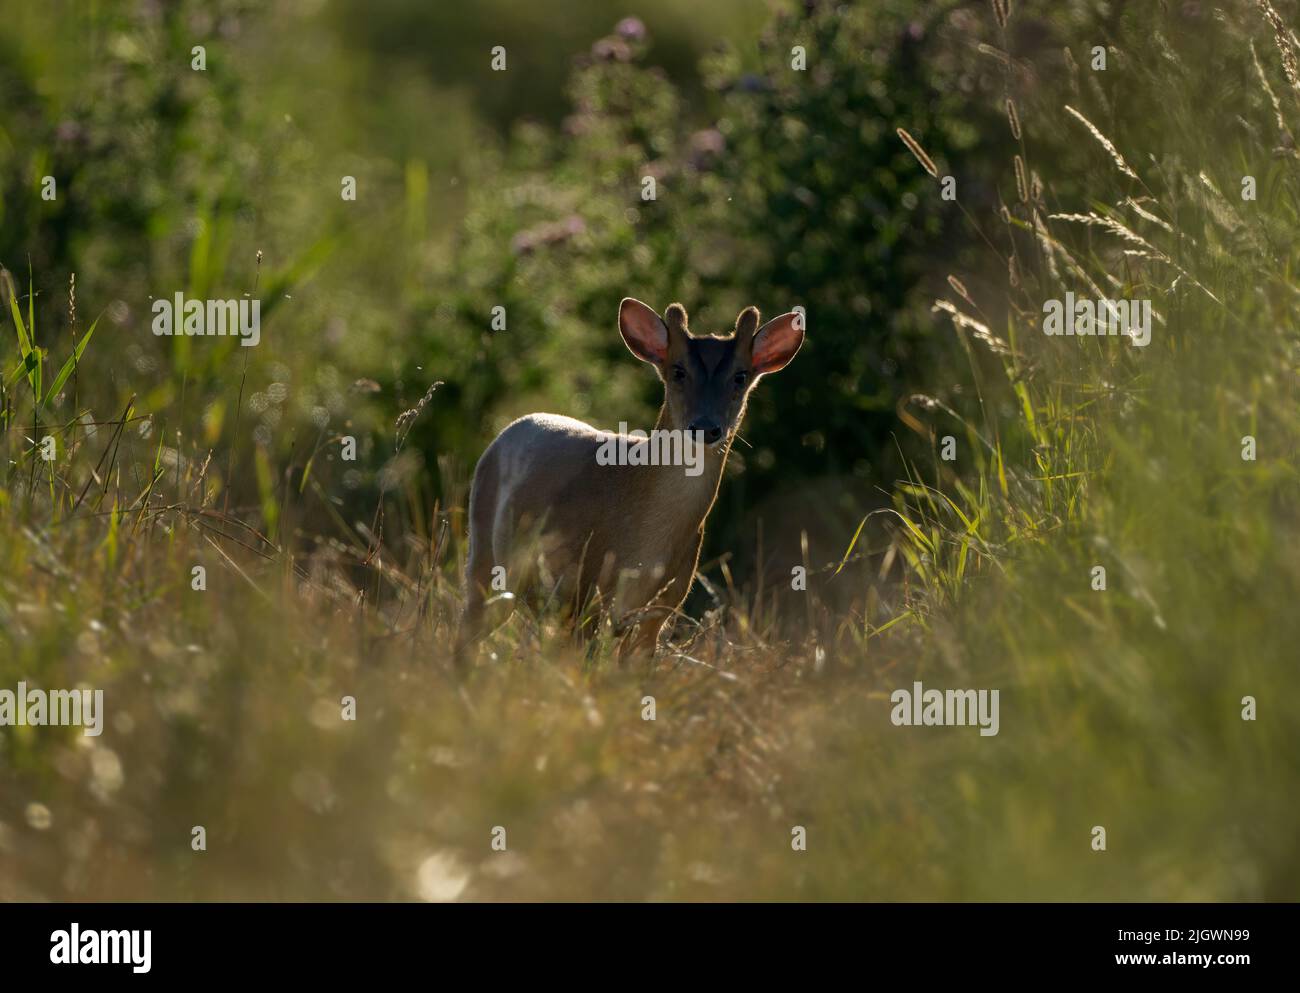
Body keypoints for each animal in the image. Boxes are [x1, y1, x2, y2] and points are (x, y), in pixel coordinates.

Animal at [461, 298, 804, 660]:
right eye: (678, 371)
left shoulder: (667, 602)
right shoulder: (581, 587)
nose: (705, 427)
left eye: (740, 376)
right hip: (486, 554)